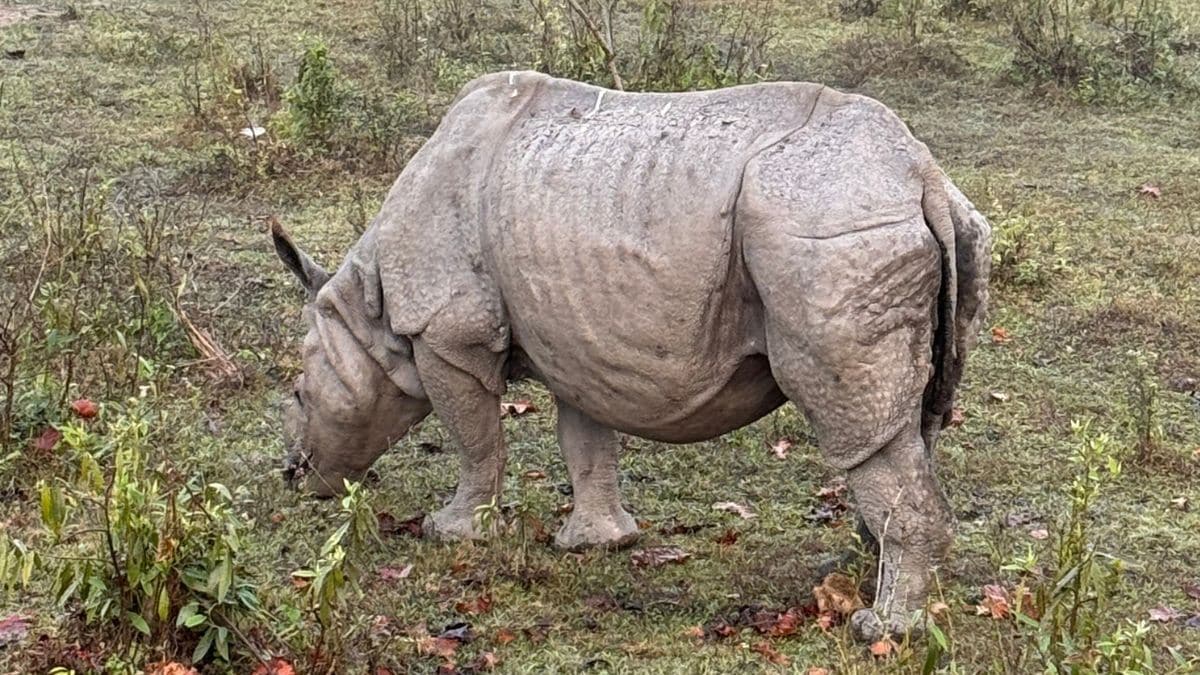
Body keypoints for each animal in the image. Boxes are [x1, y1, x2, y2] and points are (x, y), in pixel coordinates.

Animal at [273, 71, 991, 641]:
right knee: (912, 420)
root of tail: (923, 175)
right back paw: (855, 577)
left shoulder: (447, 333)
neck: (367, 306)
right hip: (880, 224)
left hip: (826, 229)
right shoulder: (574, 336)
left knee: (857, 423)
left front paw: (452, 531)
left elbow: (475, 438)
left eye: (299, 396)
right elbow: (586, 440)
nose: (293, 476)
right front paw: (599, 542)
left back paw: (882, 628)